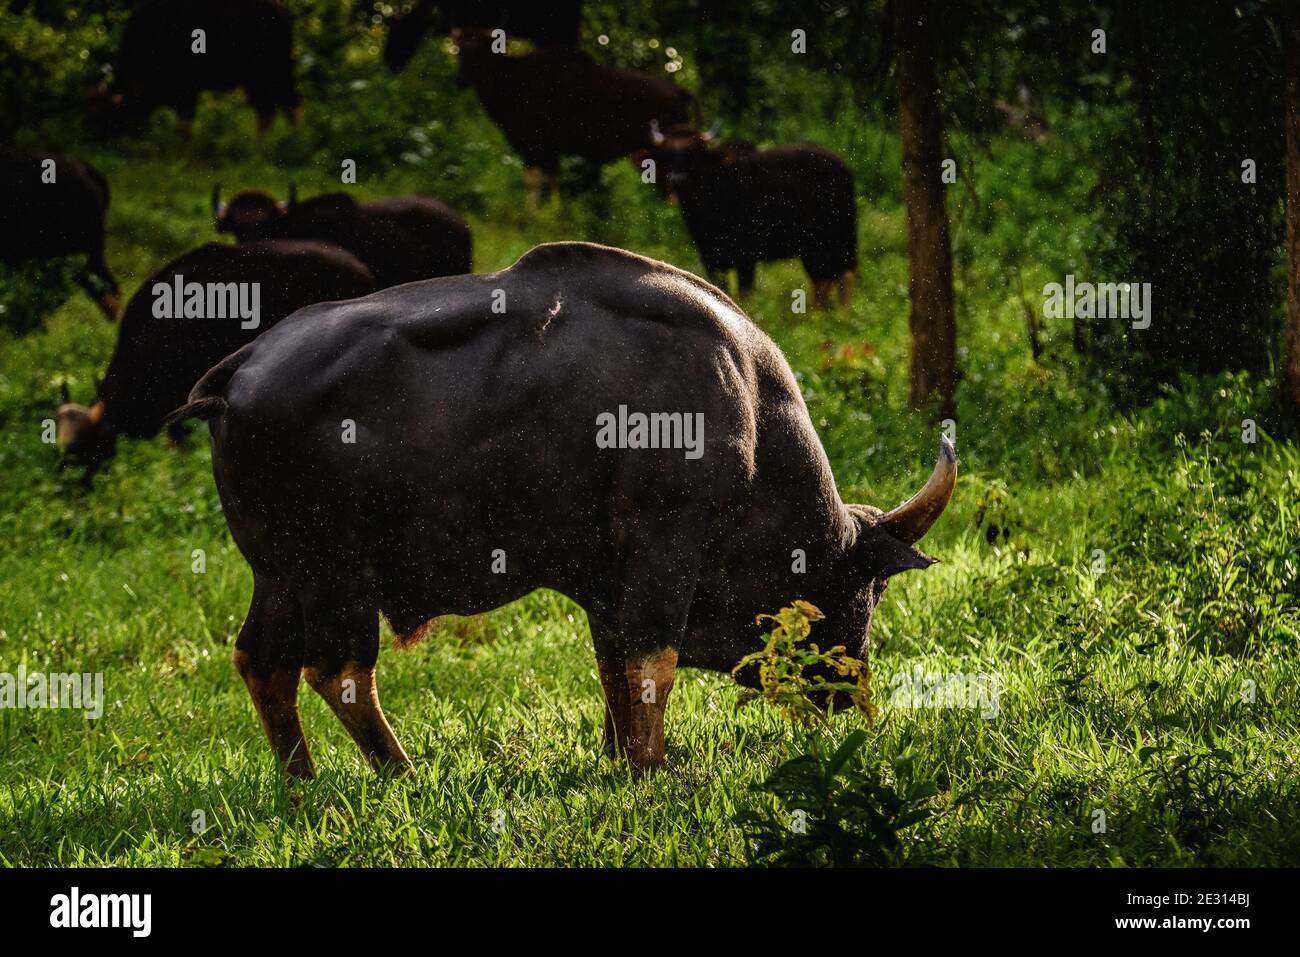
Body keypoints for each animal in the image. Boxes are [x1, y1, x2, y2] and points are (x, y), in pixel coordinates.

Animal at [91, 0, 299, 136]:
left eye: (108, 115)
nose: (95, 135)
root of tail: (281, 11)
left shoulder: (187, 90)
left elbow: (184, 126)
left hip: (264, 76)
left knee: (272, 110)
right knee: (285, 107)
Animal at [168, 242, 954, 778]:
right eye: (863, 585)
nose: (853, 697)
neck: (752, 413)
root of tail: (238, 373)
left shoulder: (607, 580)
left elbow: (616, 668)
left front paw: (622, 762)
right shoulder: (664, 550)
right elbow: (653, 660)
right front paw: (653, 771)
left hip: (279, 575)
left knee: (262, 662)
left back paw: (302, 781)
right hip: (334, 575)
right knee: (339, 672)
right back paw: (403, 774)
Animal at [455, 29, 693, 204]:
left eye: (482, 49)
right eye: (459, 50)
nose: (462, 79)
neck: (512, 79)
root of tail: (679, 91)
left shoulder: (534, 145)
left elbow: (537, 182)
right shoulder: (547, 150)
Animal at [645, 125, 858, 308]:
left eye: (696, 153)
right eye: (667, 154)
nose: (677, 180)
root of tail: (843, 168)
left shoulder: (746, 257)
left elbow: (744, 294)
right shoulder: (709, 257)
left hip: (842, 237)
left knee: (845, 275)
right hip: (813, 248)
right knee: (823, 281)